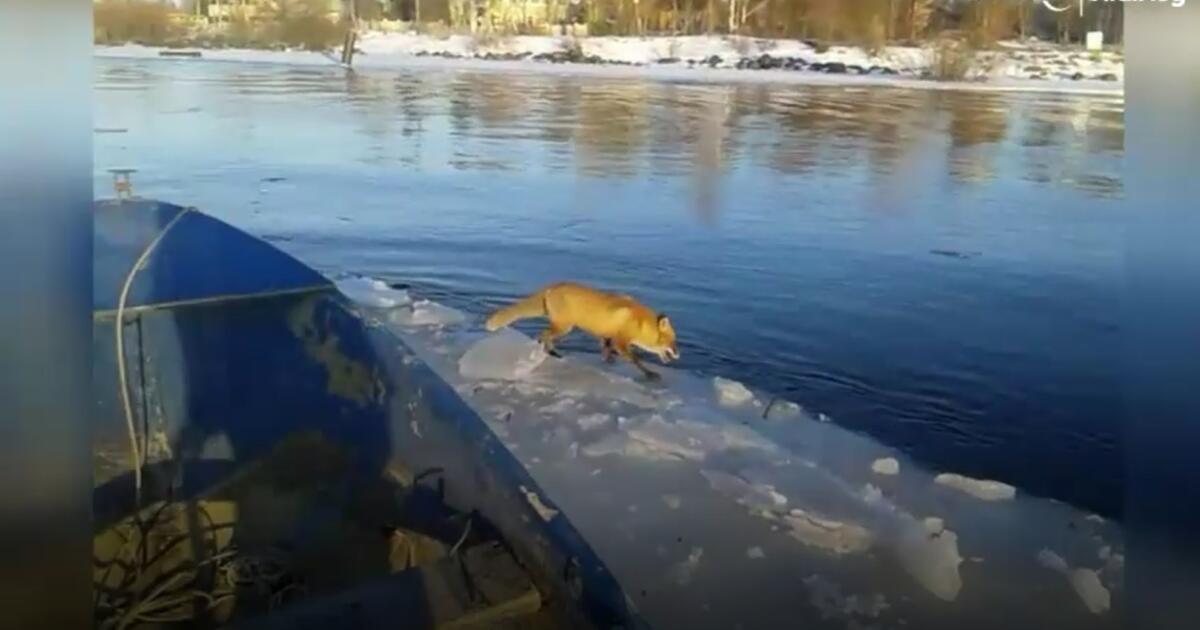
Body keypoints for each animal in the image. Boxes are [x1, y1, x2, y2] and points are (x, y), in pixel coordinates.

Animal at [484, 282, 679, 380]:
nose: (678, 355)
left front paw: (608, 360)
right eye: (672, 341)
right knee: (542, 335)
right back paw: (546, 351)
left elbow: (606, 347)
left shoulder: (608, 335)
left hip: (562, 326)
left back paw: (552, 352)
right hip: (564, 327)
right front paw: (649, 373)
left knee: (545, 335)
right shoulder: (621, 341)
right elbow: (636, 359)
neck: (639, 322)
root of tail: (552, 287)